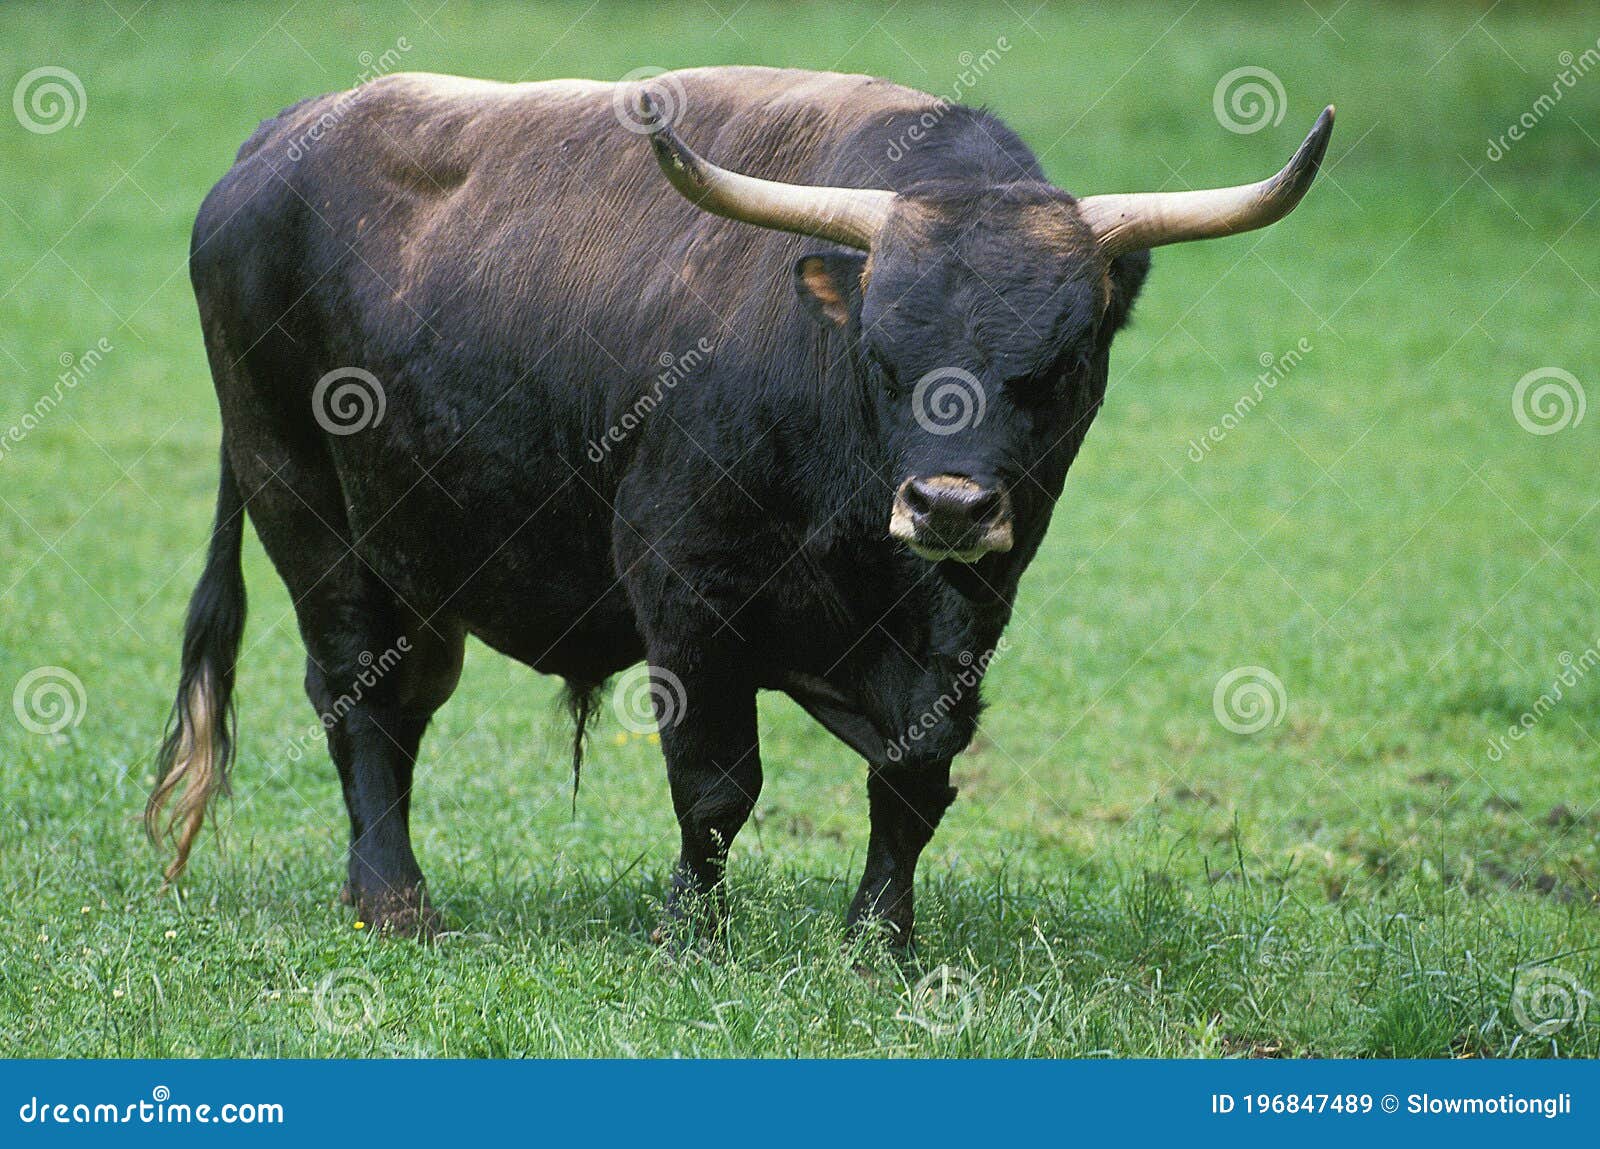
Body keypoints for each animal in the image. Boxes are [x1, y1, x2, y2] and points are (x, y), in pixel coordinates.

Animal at [146, 66, 1332, 944]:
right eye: (883, 355)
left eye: (1064, 360)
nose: (947, 504)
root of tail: (267, 149)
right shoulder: (685, 587)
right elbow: (717, 783)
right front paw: (690, 933)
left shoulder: (975, 607)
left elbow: (915, 778)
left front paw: (879, 941)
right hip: (299, 500)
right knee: (353, 690)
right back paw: (398, 904)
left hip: (419, 556)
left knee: (406, 698)